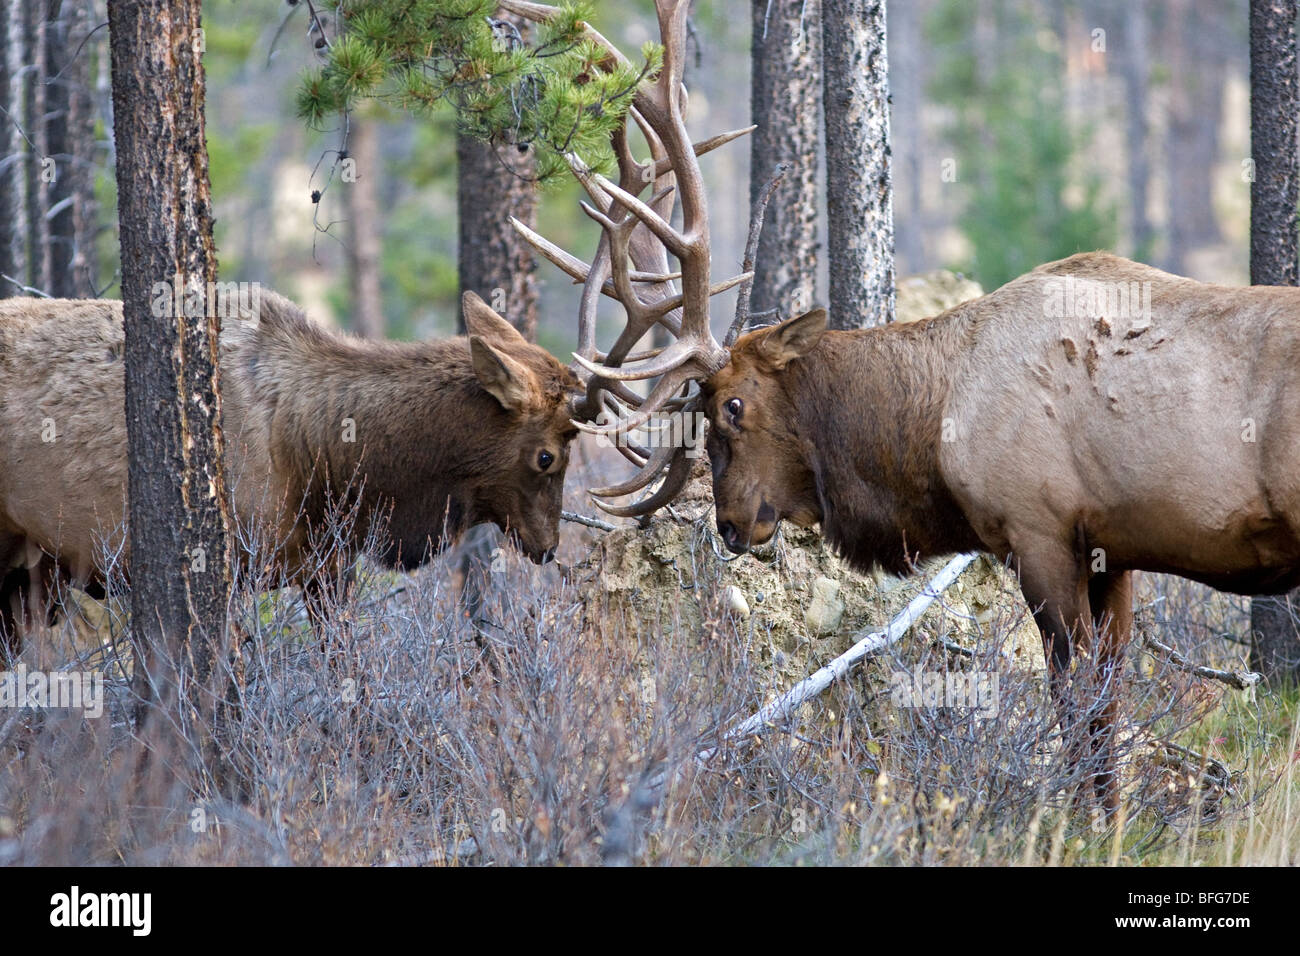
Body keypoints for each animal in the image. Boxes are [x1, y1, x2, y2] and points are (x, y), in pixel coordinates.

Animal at [502, 0, 1300, 812]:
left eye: (730, 406)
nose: (729, 524)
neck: (932, 433)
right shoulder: (1114, 551)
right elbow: (1109, 710)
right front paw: (1108, 819)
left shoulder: (1040, 531)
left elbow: (1076, 708)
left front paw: (1076, 819)